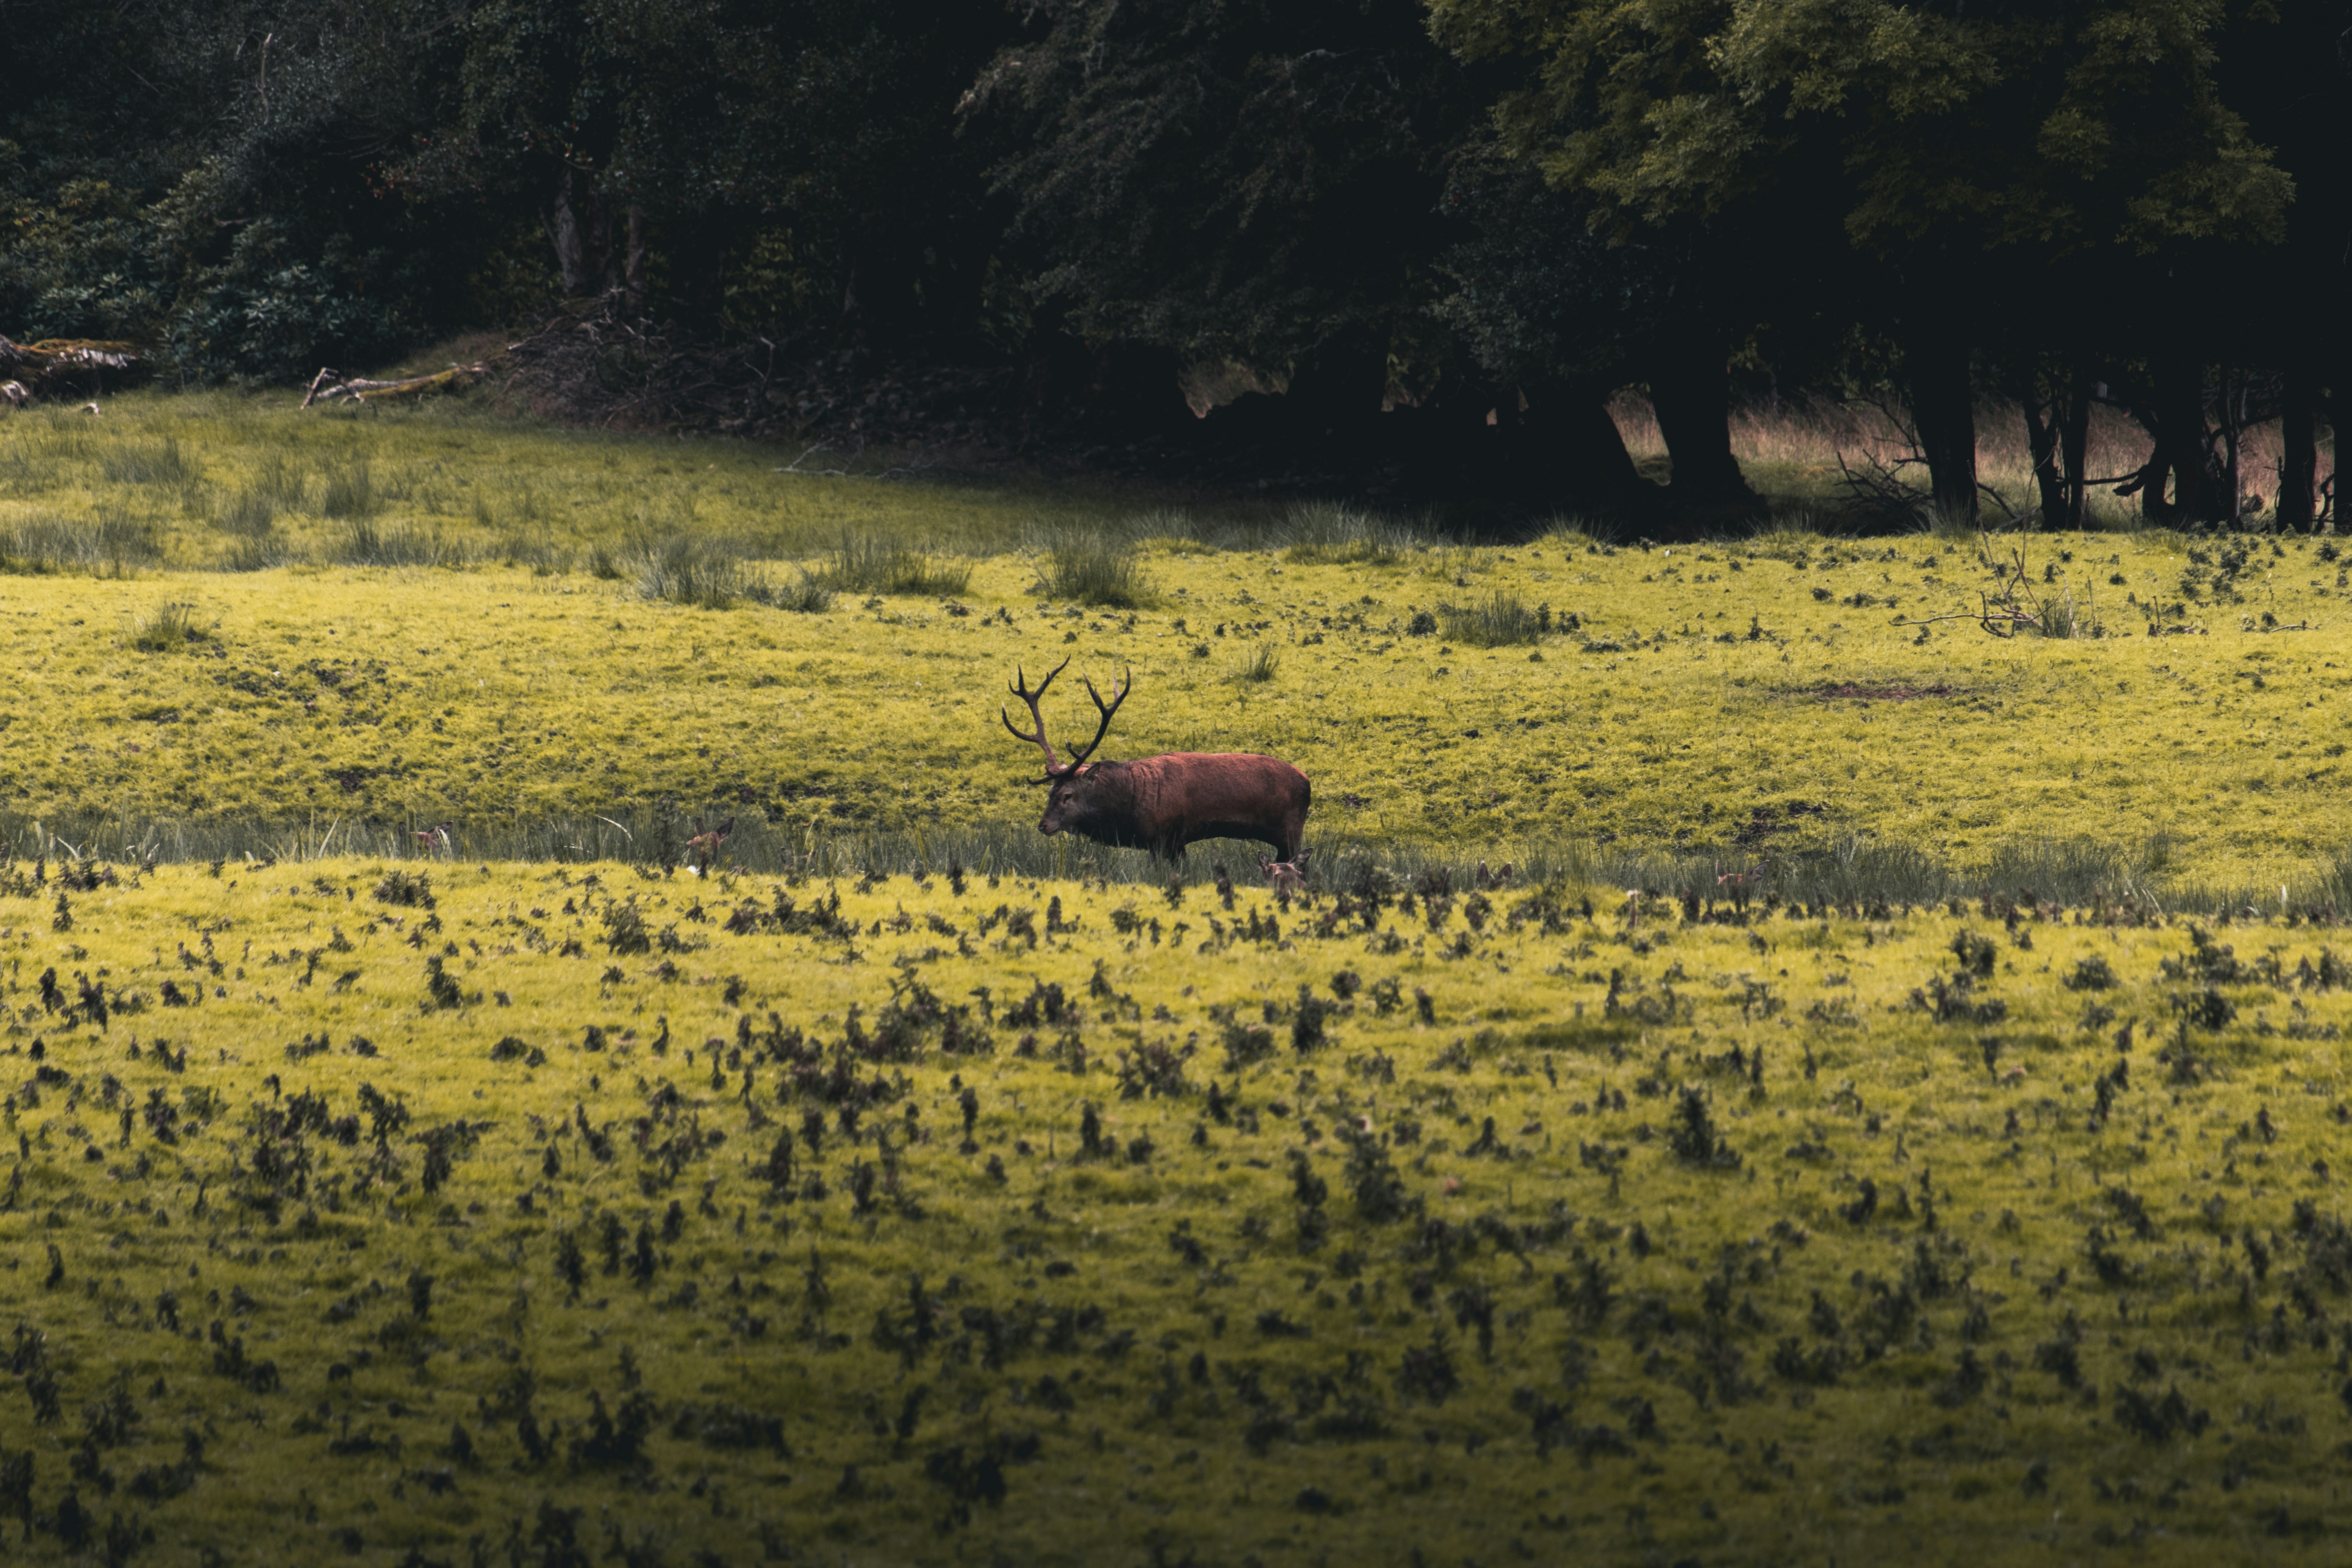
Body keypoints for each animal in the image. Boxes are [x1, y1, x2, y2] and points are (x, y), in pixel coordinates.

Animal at [1002, 659, 1310, 862]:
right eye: (1049, 792)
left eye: (1068, 795)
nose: (1044, 825)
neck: (1128, 808)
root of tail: (1308, 782)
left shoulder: (1166, 837)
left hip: (1291, 832)